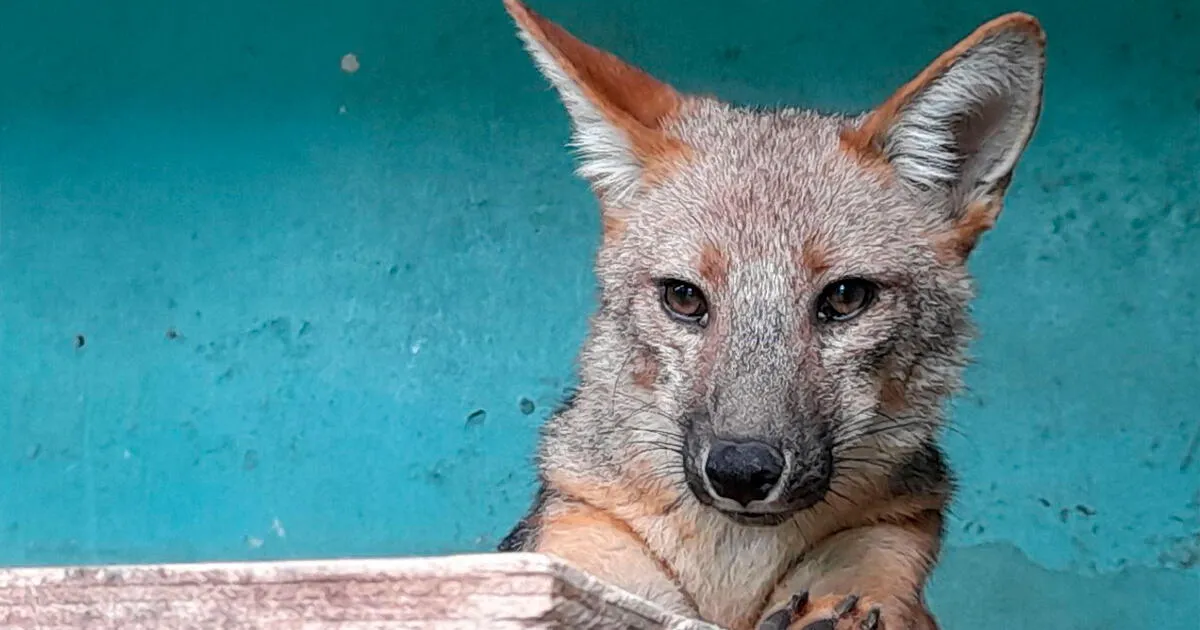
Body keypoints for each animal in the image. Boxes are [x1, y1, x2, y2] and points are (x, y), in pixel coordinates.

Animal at [495, 1, 1046, 629]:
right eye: (683, 297)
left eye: (845, 297)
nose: (741, 469)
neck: (732, 584)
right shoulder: (579, 549)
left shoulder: (888, 539)